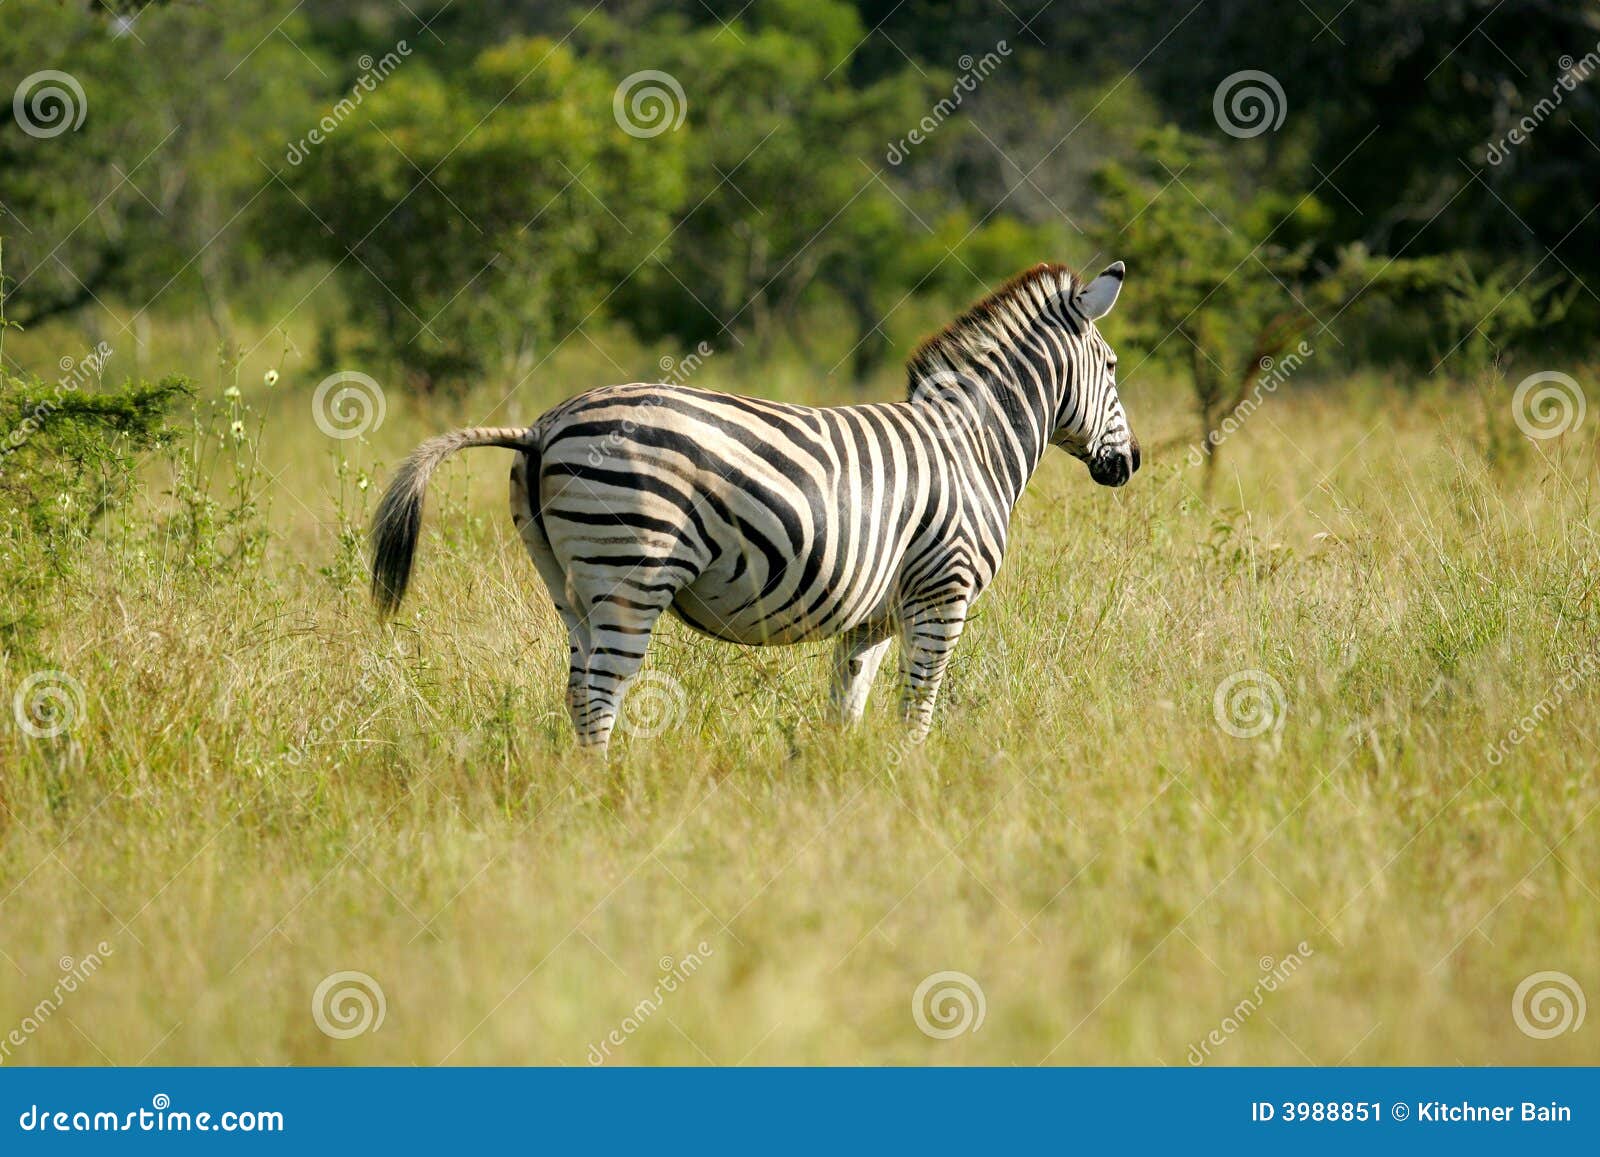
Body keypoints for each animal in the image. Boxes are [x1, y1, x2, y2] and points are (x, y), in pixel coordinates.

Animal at [371, 261, 1138, 755]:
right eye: (1114, 369)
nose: (1129, 465)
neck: (972, 444)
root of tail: (541, 427)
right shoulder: (942, 592)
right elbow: (916, 708)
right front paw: (912, 779)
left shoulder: (875, 616)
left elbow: (846, 707)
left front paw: (843, 787)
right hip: (630, 570)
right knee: (599, 696)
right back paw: (609, 800)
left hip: (568, 583)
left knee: (575, 691)